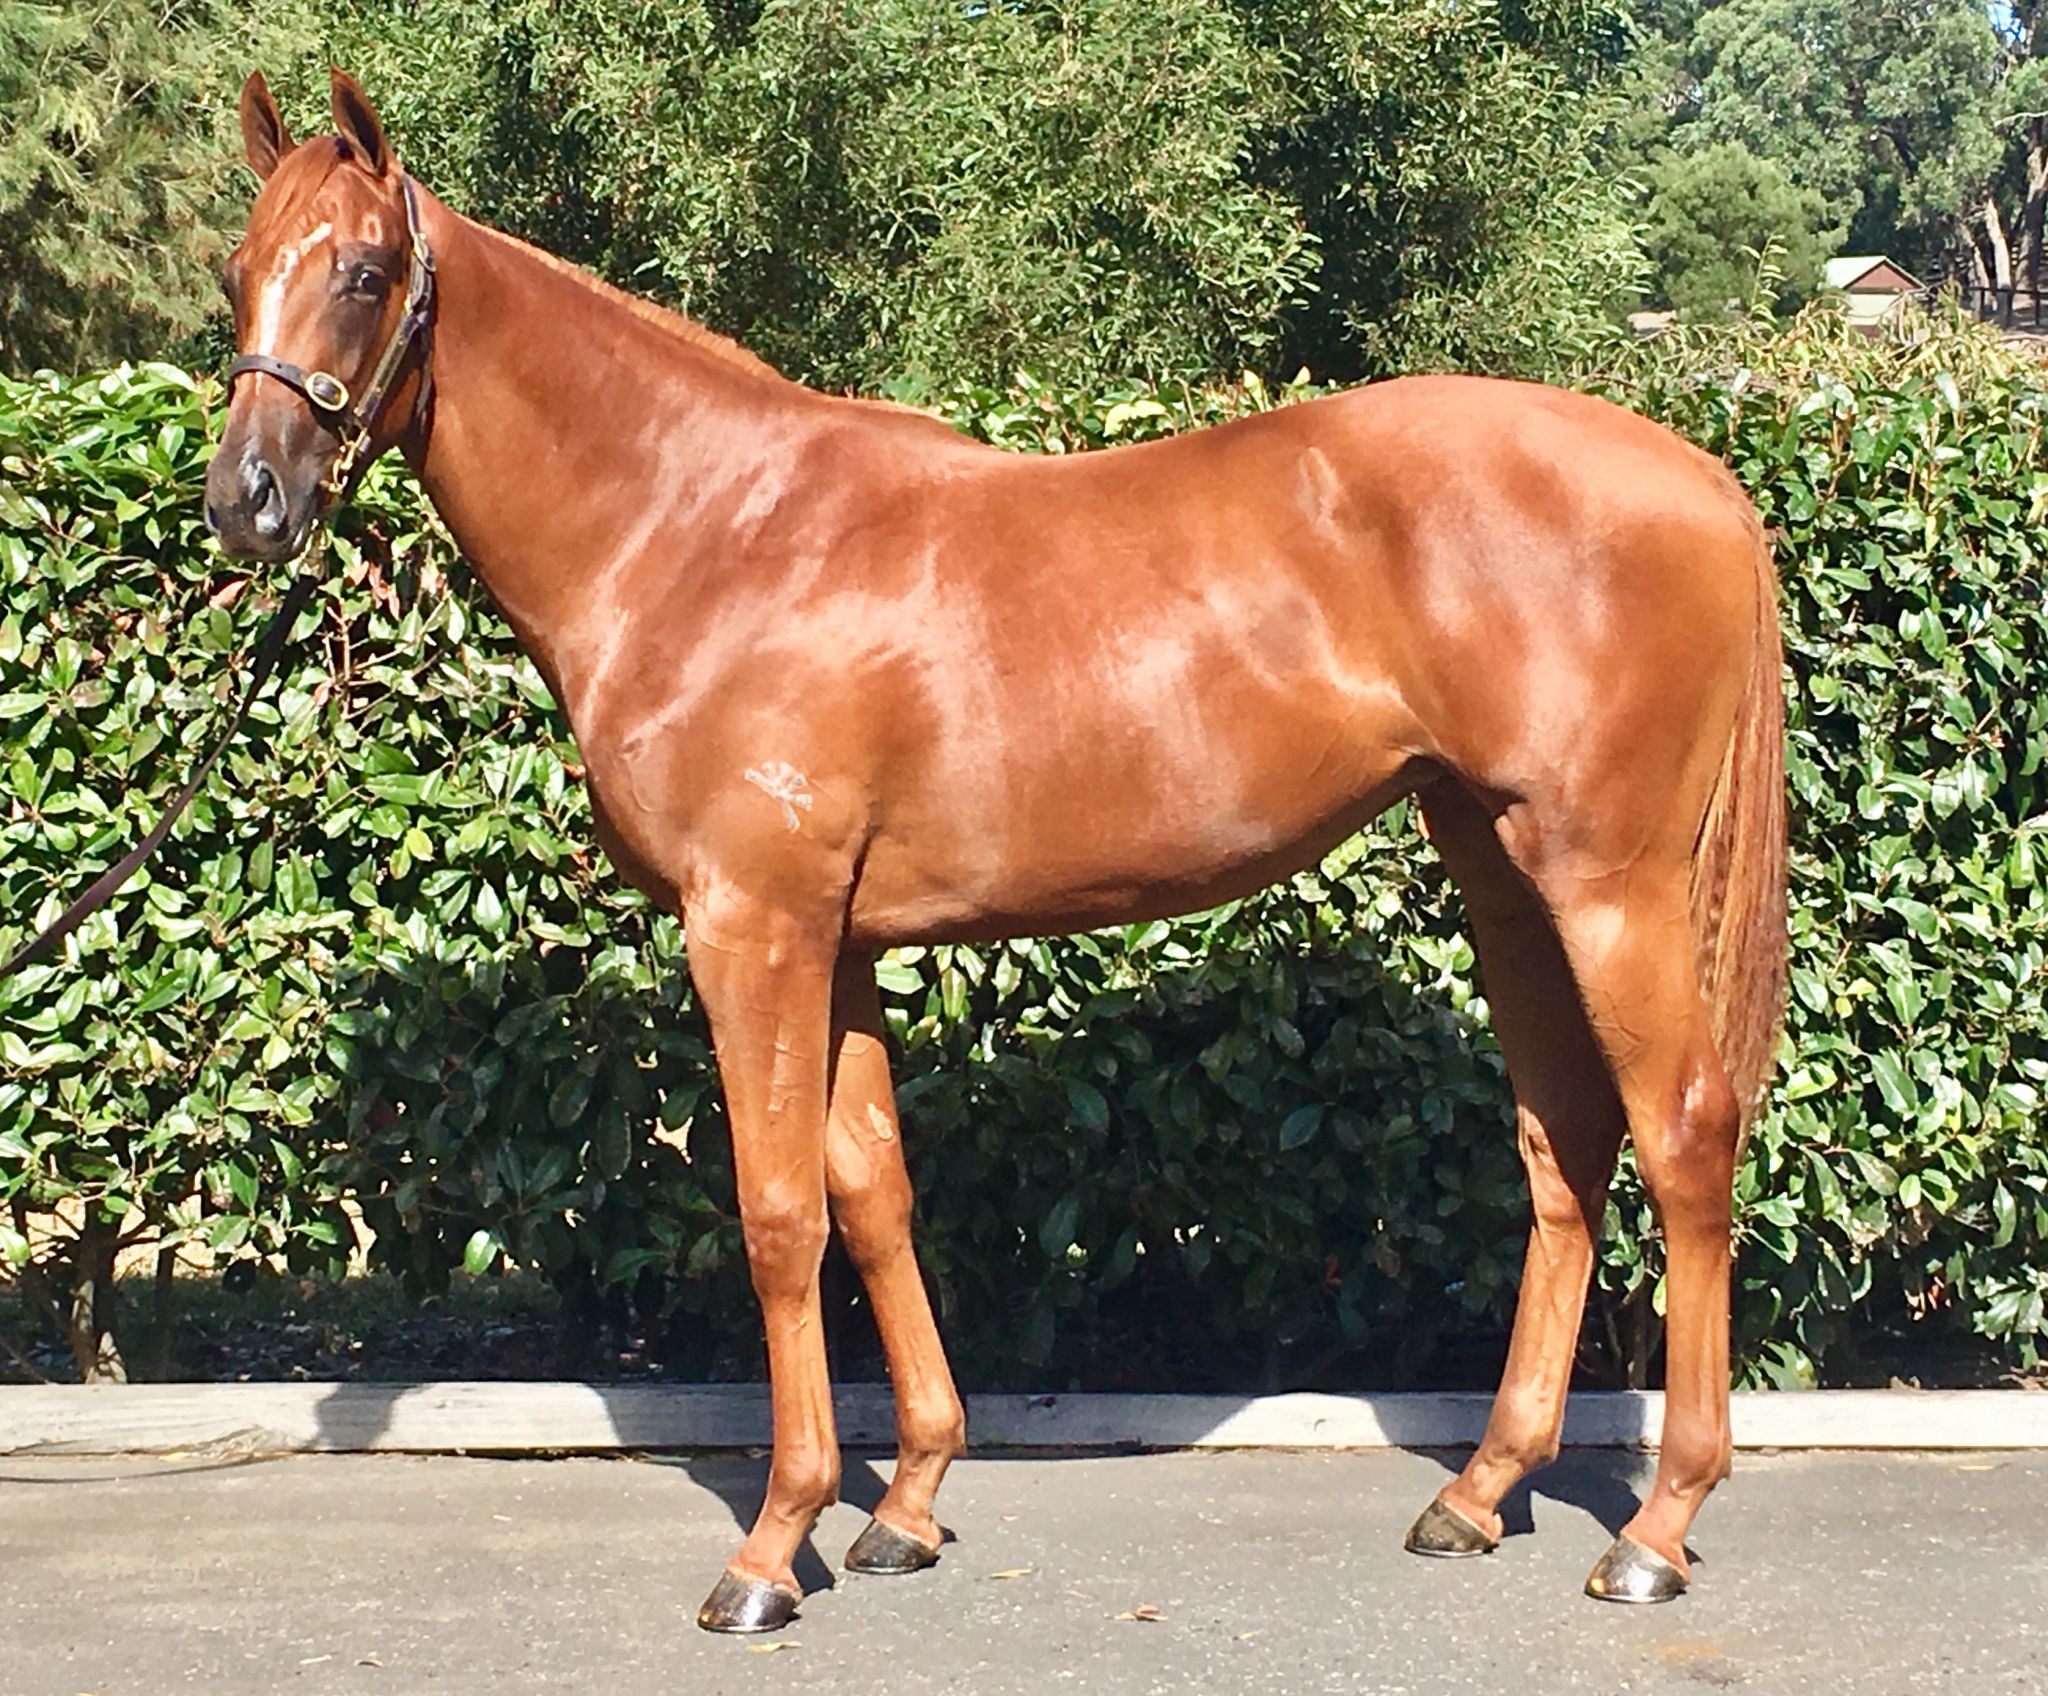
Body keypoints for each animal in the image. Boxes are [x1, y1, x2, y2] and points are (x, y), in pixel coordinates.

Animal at [205, 70, 1787, 1633]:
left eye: (362, 272)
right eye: (237, 272)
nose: (245, 501)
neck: (706, 533)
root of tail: (1705, 479)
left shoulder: (753, 928)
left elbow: (778, 1216)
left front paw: (772, 1548)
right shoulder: (836, 941)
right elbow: (872, 1193)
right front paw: (902, 1506)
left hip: (1609, 887)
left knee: (1683, 1132)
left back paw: (1656, 1529)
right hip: (1502, 874)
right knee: (1564, 1141)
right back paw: (1479, 1489)